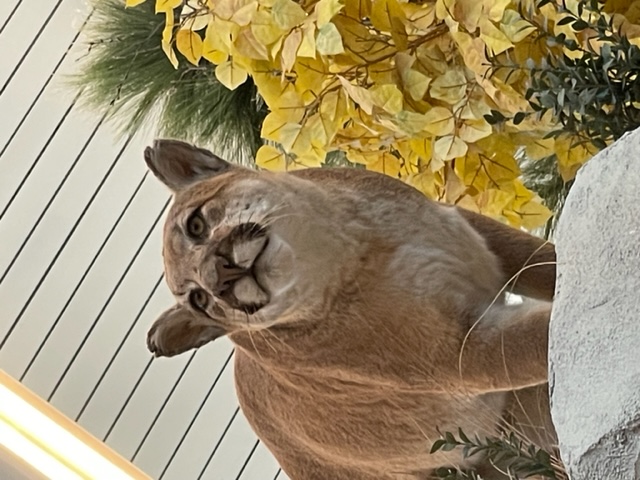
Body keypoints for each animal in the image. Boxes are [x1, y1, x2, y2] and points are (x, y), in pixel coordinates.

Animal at [144, 139, 558, 479]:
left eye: (196, 225)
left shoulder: (480, 233)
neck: (351, 247)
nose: (219, 280)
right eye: (200, 300)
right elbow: (538, 339)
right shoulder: (464, 352)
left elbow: (544, 261)